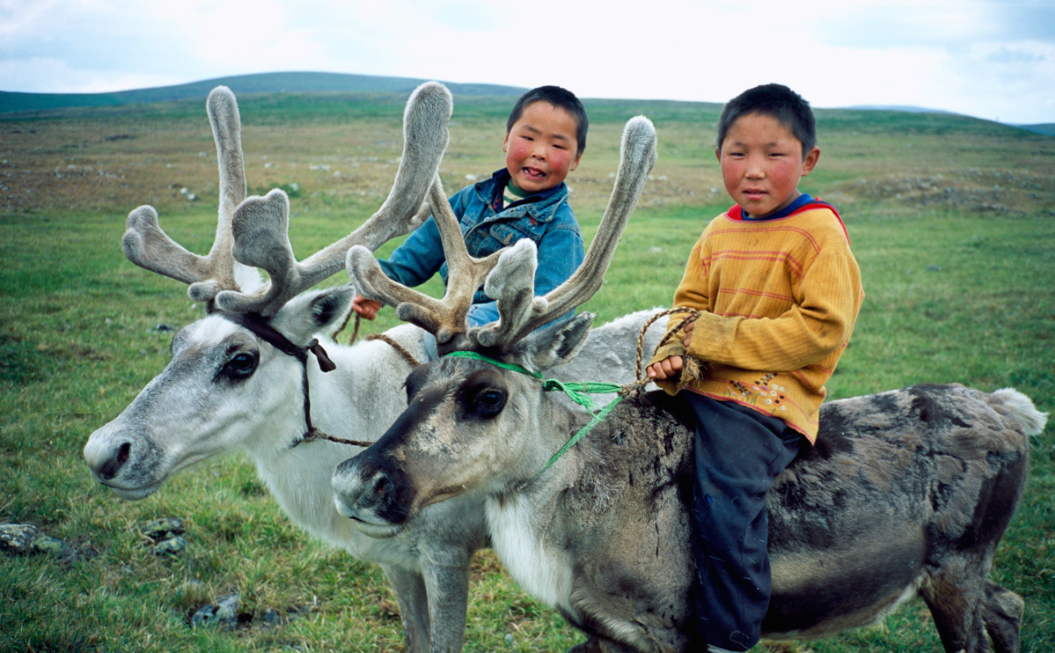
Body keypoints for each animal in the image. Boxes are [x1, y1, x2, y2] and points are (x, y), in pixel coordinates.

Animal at [83, 83, 668, 653]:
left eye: (241, 359)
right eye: (177, 342)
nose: (105, 452)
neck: (356, 417)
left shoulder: (447, 553)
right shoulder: (394, 559)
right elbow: (413, 638)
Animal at [333, 114, 1047, 653]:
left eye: (488, 396)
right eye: (412, 382)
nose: (357, 482)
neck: (576, 529)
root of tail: (1012, 411)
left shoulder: (672, 631)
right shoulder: (605, 632)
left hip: (956, 563)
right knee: (1010, 605)